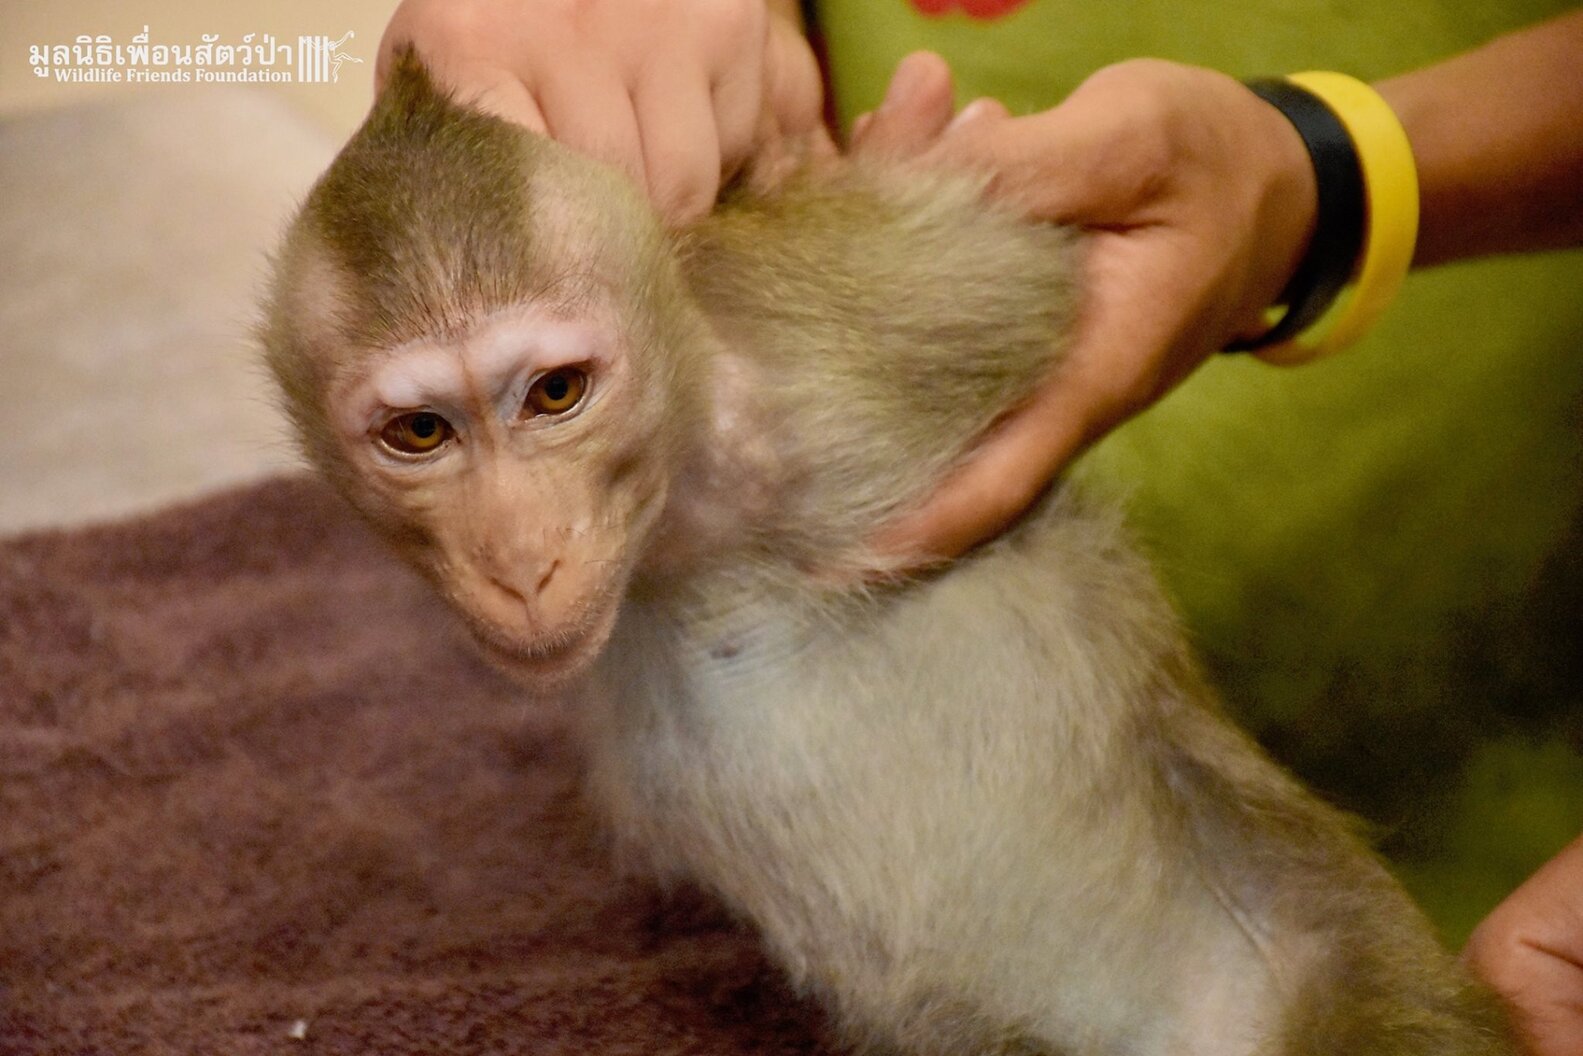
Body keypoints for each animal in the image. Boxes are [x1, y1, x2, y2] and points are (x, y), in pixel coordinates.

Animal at [262, 51, 1518, 1056]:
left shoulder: (841, 310)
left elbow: (1024, 280)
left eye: (556, 393)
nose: (520, 559)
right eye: (420, 432)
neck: (685, 507)